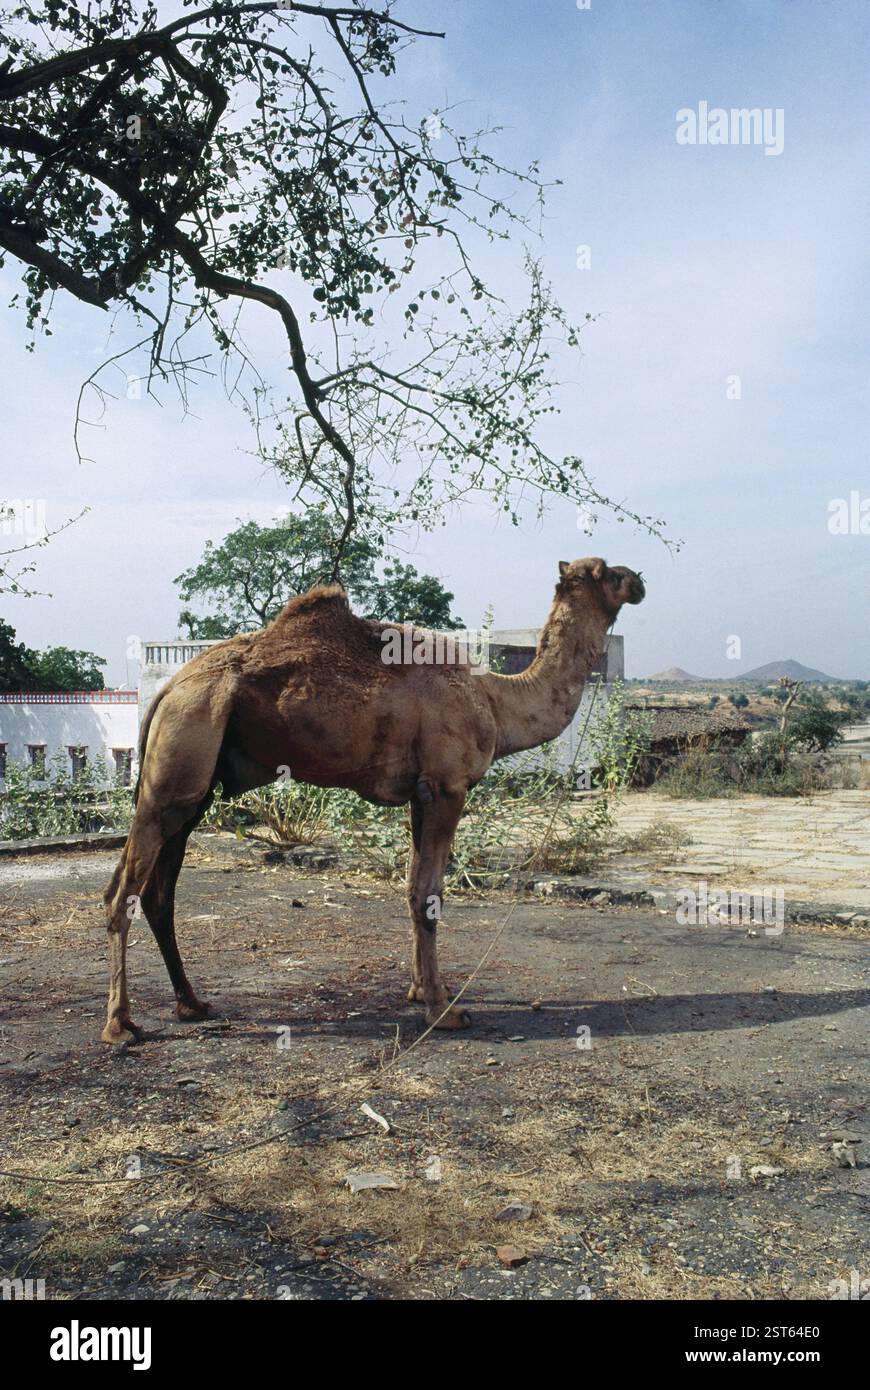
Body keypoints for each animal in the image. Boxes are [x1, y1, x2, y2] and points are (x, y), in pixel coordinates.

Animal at [101, 556, 644, 1043]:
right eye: (609, 572)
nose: (640, 581)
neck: (494, 699)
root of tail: (167, 689)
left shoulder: (420, 794)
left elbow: (411, 887)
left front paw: (419, 989)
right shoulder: (447, 787)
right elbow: (429, 892)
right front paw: (443, 1010)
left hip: (194, 783)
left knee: (160, 892)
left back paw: (191, 1003)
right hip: (180, 755)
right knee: (122, 891)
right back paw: (120, 1025)